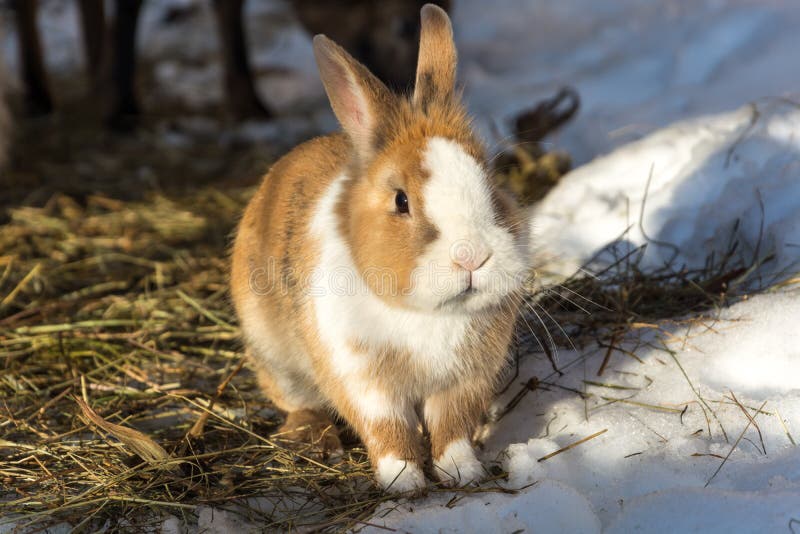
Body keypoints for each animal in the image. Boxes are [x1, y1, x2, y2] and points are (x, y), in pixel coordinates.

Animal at [230, 4, 531, 493]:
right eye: (401, 201)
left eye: (490, 184)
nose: (471, 255)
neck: (426, 314)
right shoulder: (362, 382)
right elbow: (388, 431)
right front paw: (404, 482)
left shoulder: (463, 383)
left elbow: (451, 429)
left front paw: (463, 473)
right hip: (276, 358)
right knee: (298, 402)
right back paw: (314, 440)